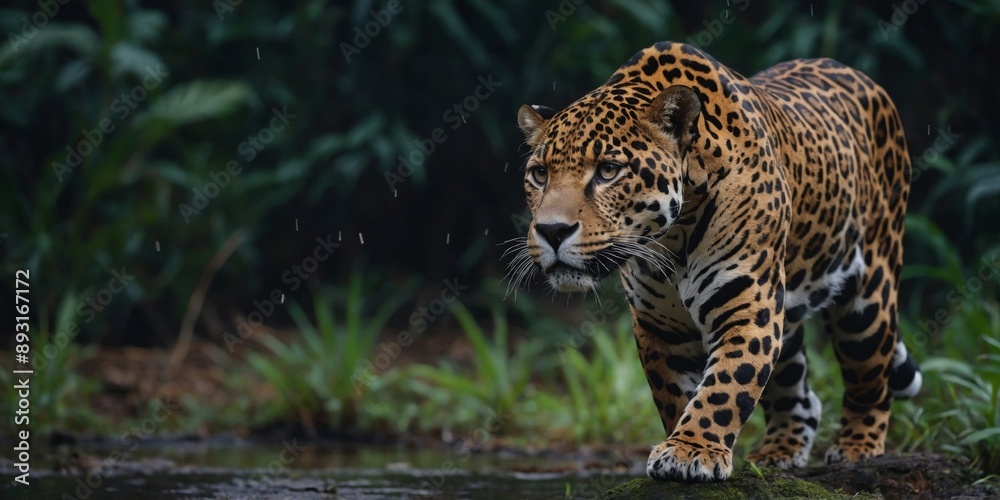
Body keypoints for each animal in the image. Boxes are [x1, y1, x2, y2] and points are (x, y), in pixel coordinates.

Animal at [509, 41, 922, 482]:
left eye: (608, 171)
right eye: (539, 174)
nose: (552, 231)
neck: (671, 239)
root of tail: (861, 77)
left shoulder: (747, 305)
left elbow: (728, 385)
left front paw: (692, 451)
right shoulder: (660, 327)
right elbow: (676, 394)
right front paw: (682, 445)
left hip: (868, 299)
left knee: (871, 377)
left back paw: (857, 446)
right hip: (788, 305)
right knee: (799, 392)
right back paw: (779, 451)